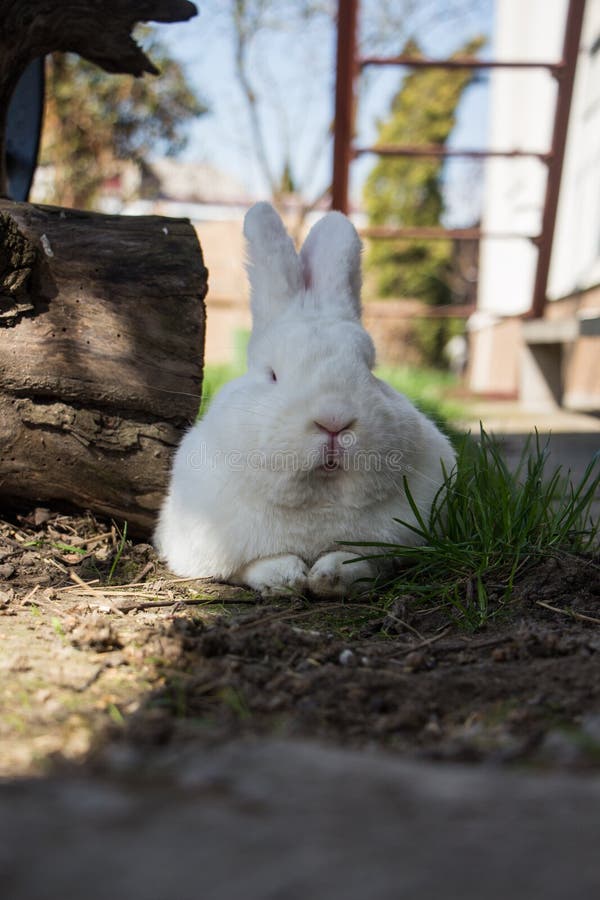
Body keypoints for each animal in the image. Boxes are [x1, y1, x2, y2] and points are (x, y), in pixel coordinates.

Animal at [154, 202, 456, 598]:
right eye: (273, 374)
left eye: (370, 368)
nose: (334, 421)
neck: (319, 499)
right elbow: (252, 565)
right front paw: (285, 579)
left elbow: (365, 560)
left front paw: (330, 576)